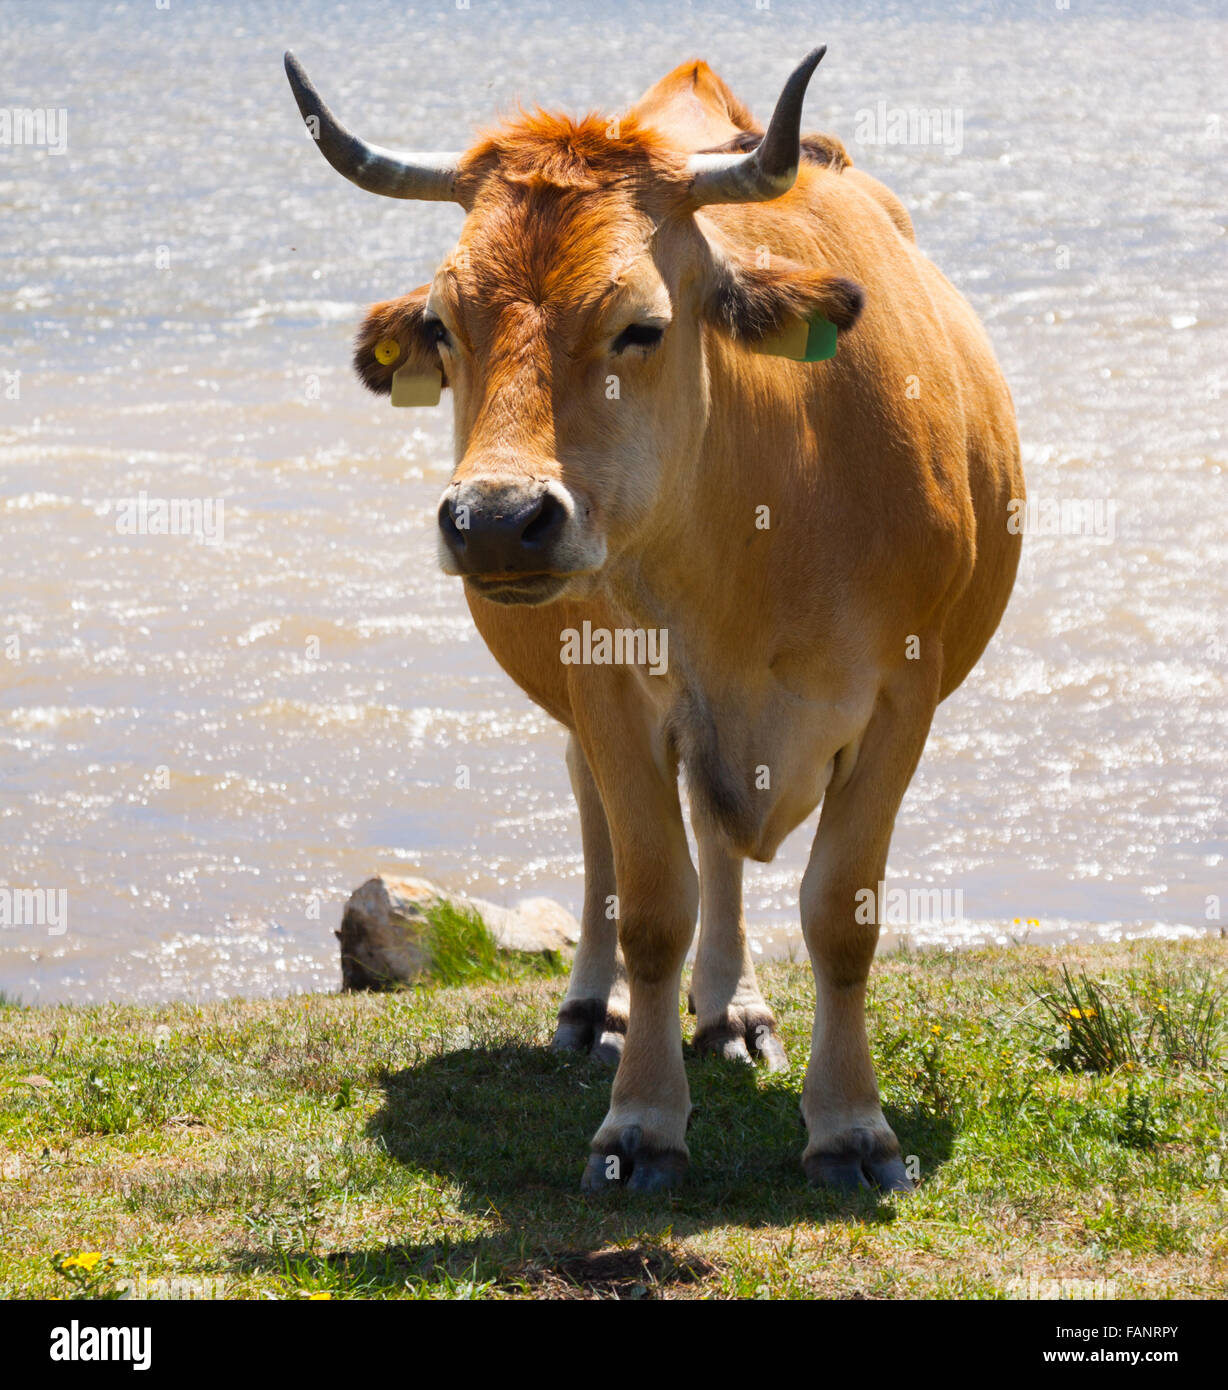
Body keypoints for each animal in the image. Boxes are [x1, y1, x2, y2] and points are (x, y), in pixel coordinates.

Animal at [285, 45, 1023, 1193]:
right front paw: (639, 1123)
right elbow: (651, 902)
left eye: (641, 325)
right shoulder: (611, 688)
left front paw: (852, 1128)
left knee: (719, 844)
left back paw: (732, 1011)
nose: (497, 521)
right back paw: (597, 1012)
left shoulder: (904, 693)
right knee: (606, 826)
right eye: (445, 327)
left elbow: (839, 912)